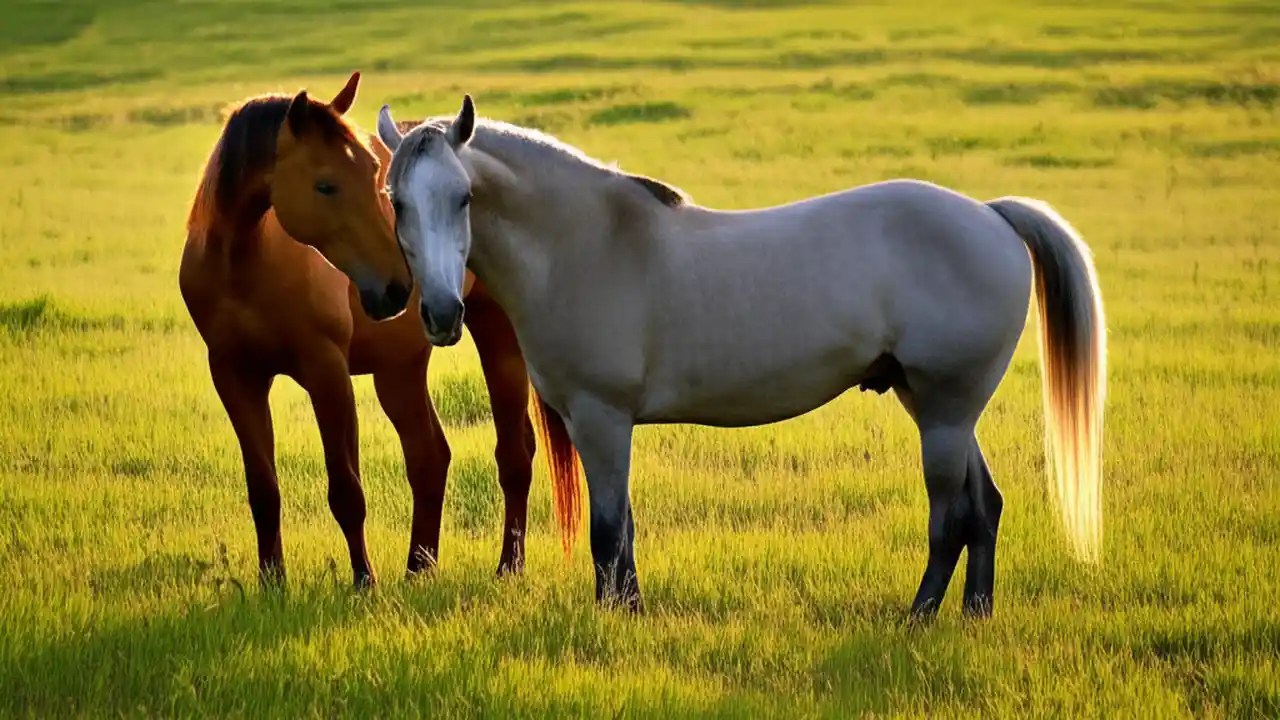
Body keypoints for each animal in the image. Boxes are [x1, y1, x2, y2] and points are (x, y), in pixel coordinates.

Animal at [180, 74, 541, 588]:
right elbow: (263, 490)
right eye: (325, 185)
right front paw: (272, 584)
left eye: (372, 172)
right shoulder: (235, 377)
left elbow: (346, 491)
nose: (396, 286)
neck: (245, 266)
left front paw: (363, 582)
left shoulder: (327, 373)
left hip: (497, 336)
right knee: (429, 457)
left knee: (514, 454)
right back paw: (418, 568)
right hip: (399, 368)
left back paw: (508, 566)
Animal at [372, 96, 1106, 618]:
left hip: (945, 415)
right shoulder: (590, 424)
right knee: (984, 508)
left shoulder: (604, 419)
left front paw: (616, 621)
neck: (590, 242)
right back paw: (974, 614)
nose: (441, 314)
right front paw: (629, 612)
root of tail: (990, 215)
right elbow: (624, 532)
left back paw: (919, 617)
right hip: (937, 406)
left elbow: (608, 535)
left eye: (464, 198)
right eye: (397, 202)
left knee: (950, 517)